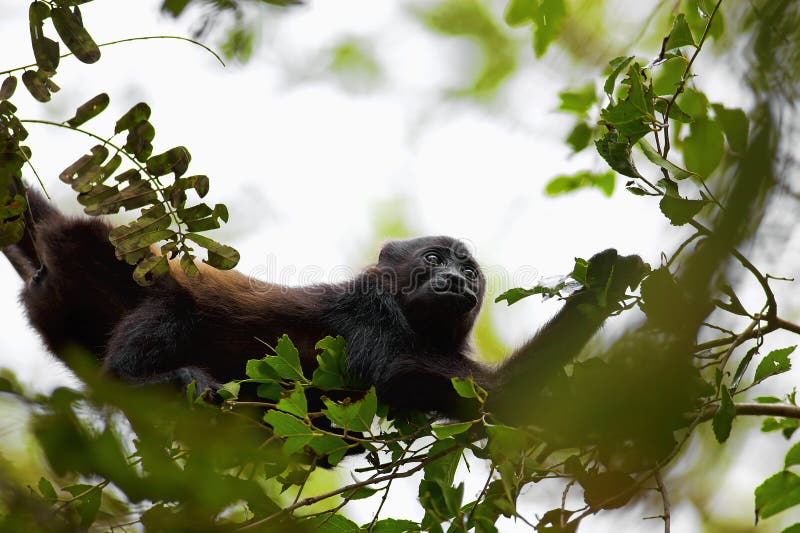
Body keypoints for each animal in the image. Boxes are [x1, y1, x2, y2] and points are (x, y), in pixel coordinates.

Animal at [2, 189, 644, 424]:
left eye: (469, 272)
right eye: (435, 258)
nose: (453, 280)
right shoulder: (370, 314)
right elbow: (391, 373)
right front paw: (606, 282)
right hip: (112, 261)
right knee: (174, 306)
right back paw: (145, 380)